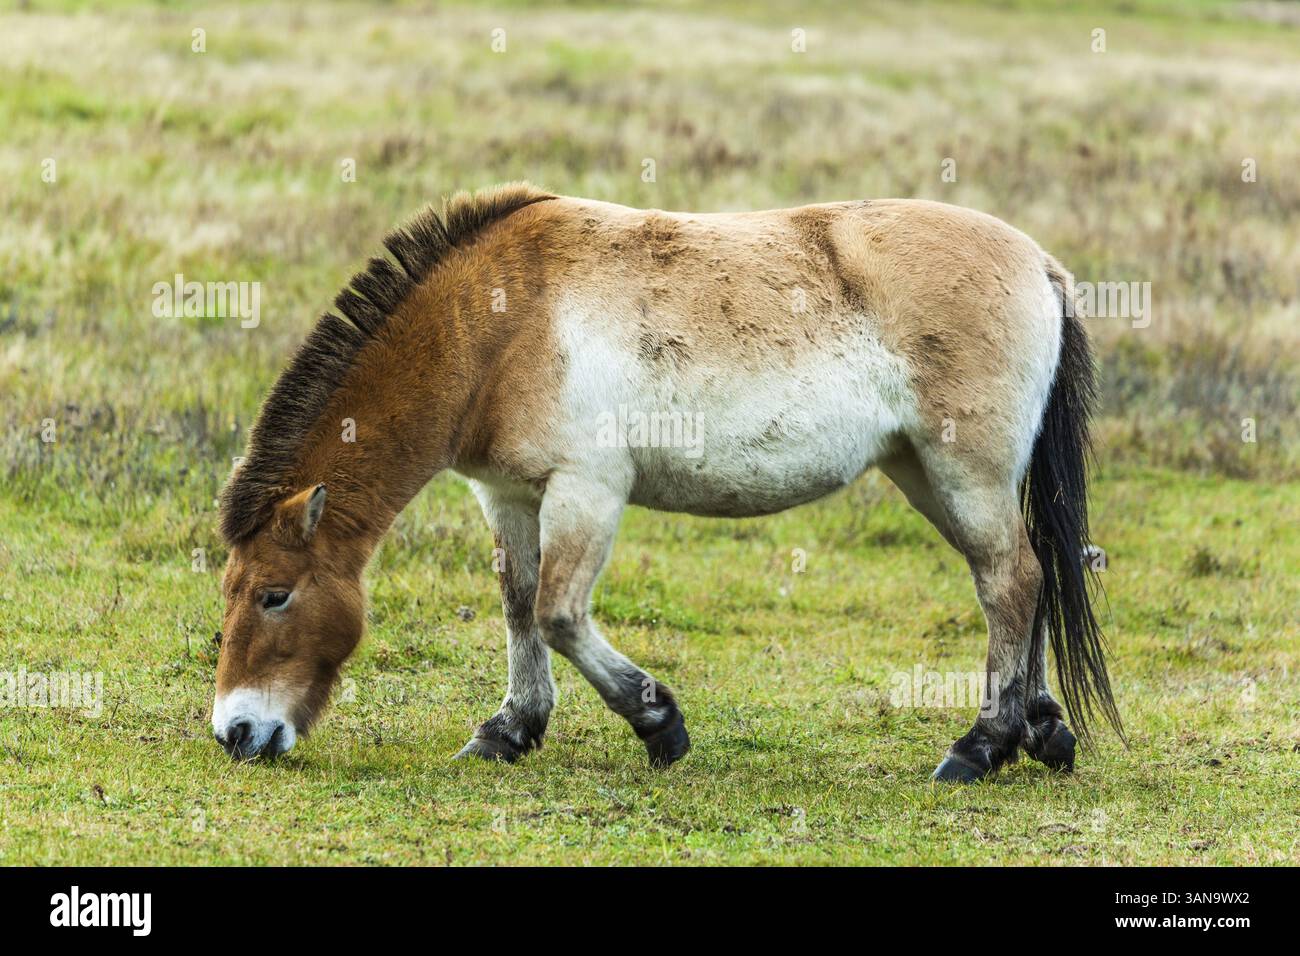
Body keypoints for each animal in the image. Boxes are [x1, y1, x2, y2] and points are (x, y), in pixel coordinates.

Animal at [212, 183, 1121, 782]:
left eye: (274, 595)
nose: (237, 732)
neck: (499, 325)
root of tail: (1040, 266)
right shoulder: (508, 495)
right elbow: (519, 605)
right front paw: (510, 729)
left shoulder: (586, 490)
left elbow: (559, 613)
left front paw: (659, 725)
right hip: (926, 474)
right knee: (1027, 575)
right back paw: (1042, 733)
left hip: (963, 473)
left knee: (1011, 581)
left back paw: (980, 746)